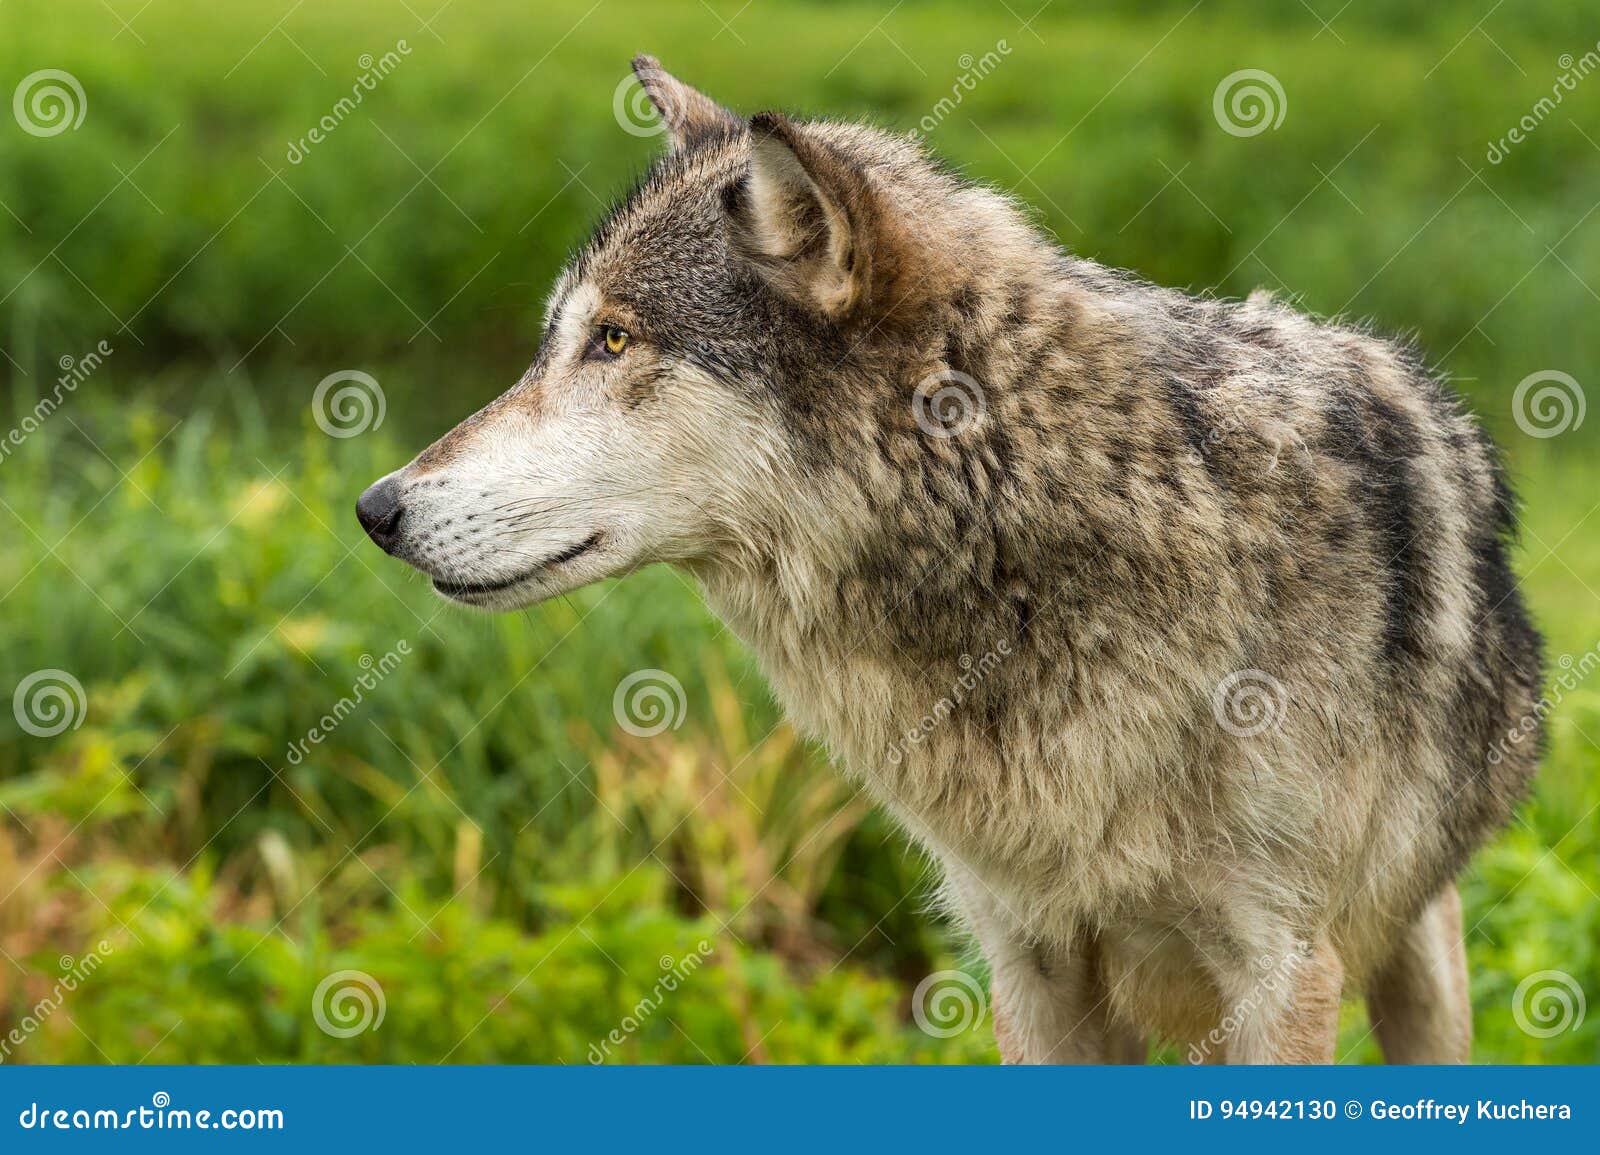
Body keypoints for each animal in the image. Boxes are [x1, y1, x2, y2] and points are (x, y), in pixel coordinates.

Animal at [356, 57, 1544, 1063]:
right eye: (553, 340)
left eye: (611, 340)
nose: (375, 509)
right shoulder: (1030, 967)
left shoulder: (1282, 971)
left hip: (1417, 956)